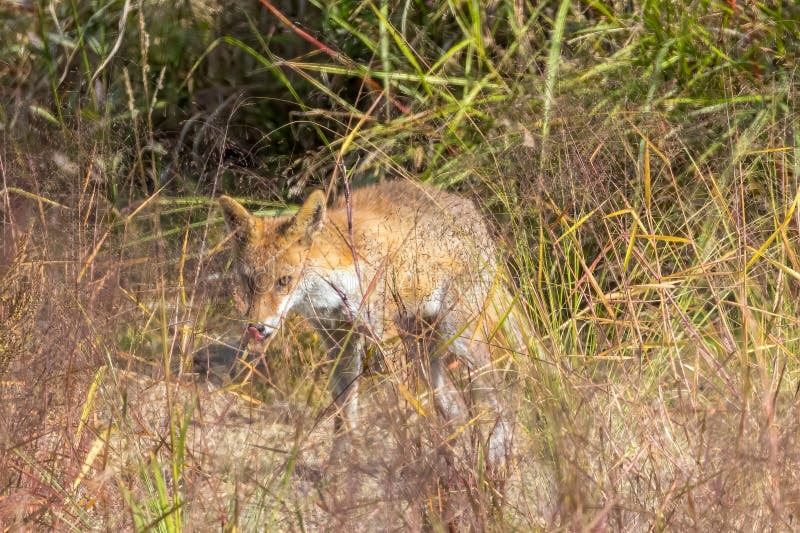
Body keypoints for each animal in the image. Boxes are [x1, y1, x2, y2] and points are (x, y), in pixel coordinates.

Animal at [218, 180, 519, 475]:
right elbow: (345, 417)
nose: (256, 328)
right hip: (423, 352)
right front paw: (337, 469)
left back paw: (497, 461)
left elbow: (400, 412)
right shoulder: (339, 343)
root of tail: (472, 210)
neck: (335, 286)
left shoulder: (385, 340)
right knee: (455, 410)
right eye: (249, 281)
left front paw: (402, 465)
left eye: (284, 281)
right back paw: (455, 462)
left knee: (499, 397)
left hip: (459, 338)